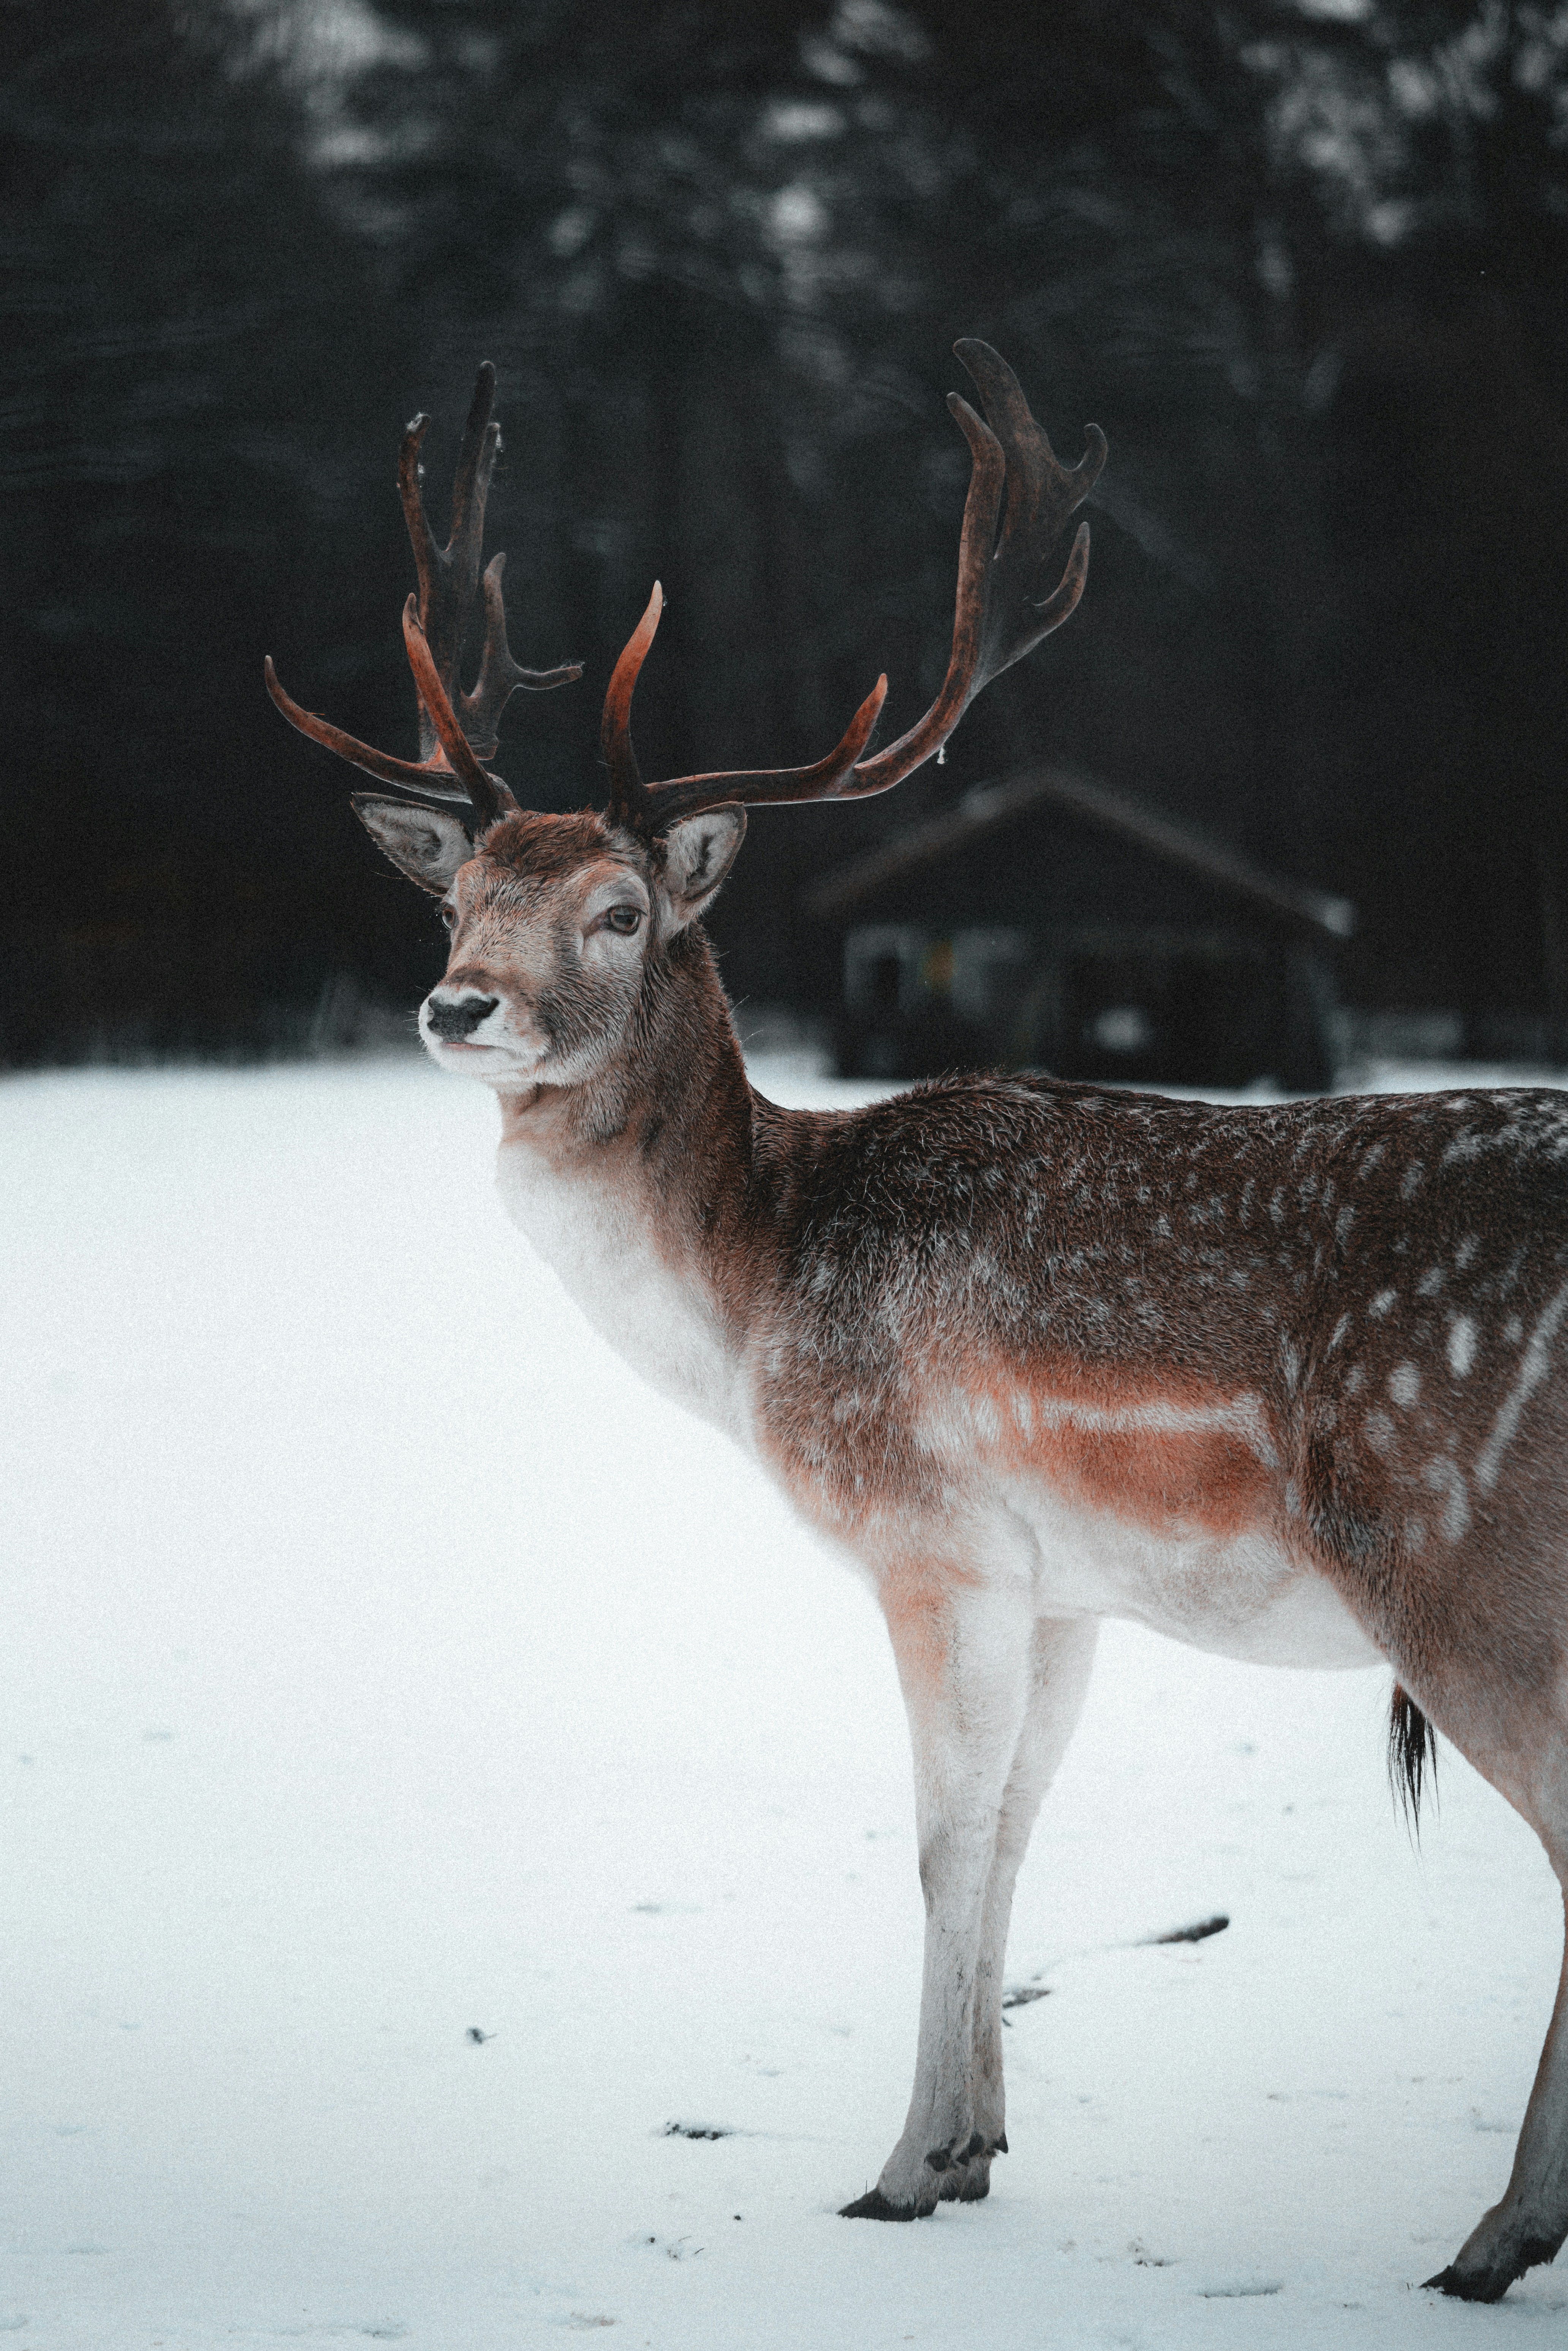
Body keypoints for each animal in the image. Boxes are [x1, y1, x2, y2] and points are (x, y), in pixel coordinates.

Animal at [266, 346, 1568, 2303]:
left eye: (620, 908)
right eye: (455, 893)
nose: (455, 1004)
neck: (753, 1300)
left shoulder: (924, 1531)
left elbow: (940, 1839)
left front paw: (890, 2167)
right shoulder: (1063, 1582)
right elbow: (1015, 1827)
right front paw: (973, 2146)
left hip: (1460, 1560)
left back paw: (1493, 2229)